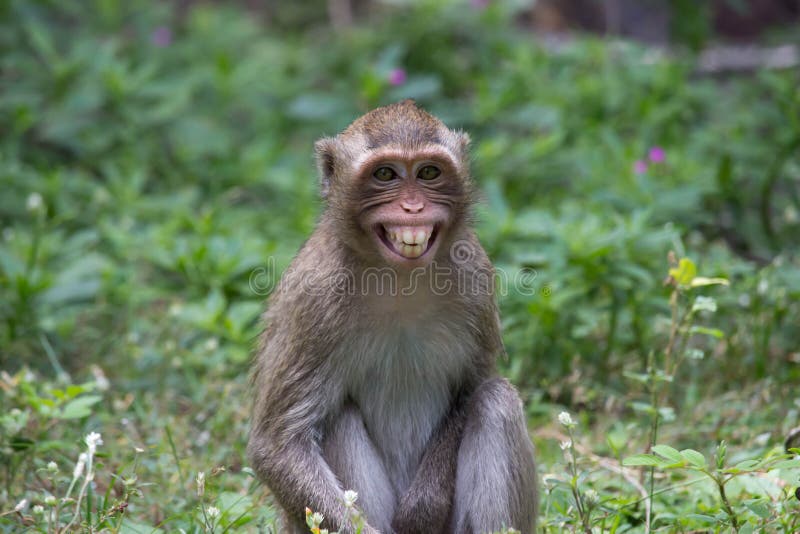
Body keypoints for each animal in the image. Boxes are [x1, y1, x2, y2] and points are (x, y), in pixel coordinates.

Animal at [247, 100, 537, 534]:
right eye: (385, 174)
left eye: (429, 172)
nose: (413, 207)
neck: (398, 278)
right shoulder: (312, 298)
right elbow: (279, 444)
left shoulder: (475, 275)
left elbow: (472, 386)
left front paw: (424, 505)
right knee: (337, 418)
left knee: (495, 399)